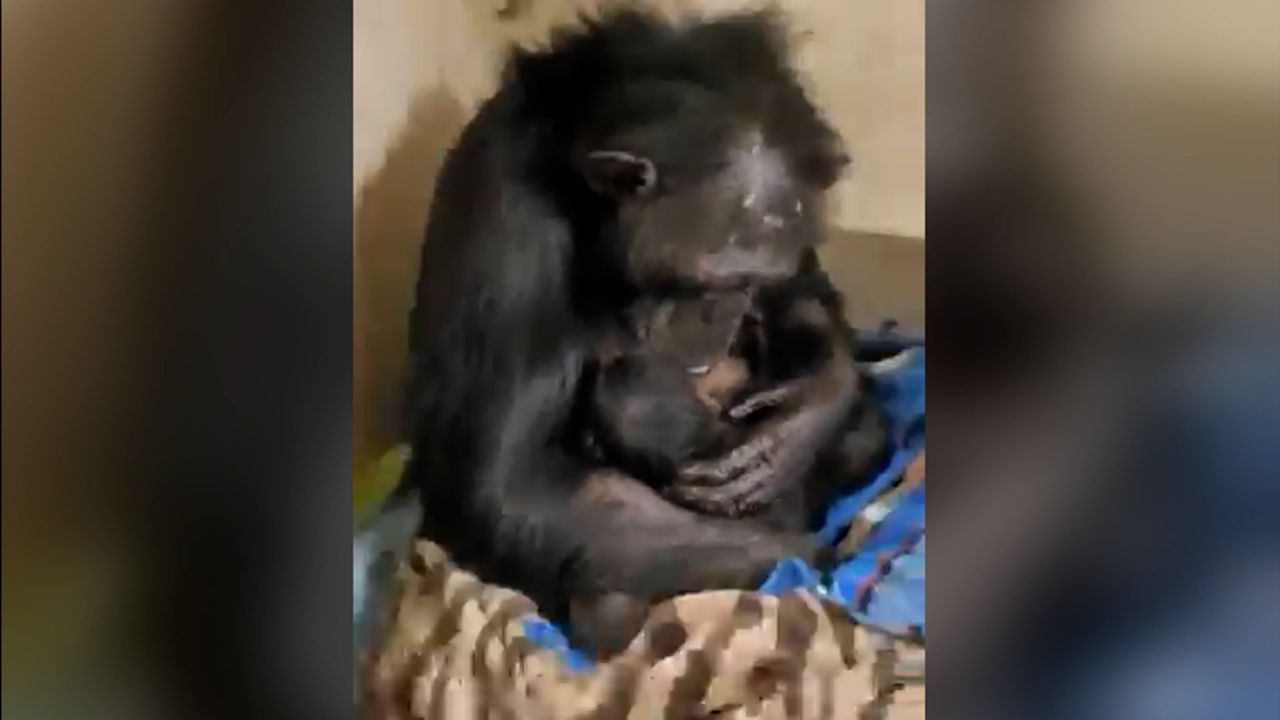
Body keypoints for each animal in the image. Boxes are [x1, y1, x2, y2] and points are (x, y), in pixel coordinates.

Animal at [401, 8, 883, 657]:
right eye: (707, 279)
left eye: (756, 280)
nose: (722, 315)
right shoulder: (504, 213)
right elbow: (507, 485)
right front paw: (804, 553)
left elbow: (807, 285)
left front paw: (809, 408)